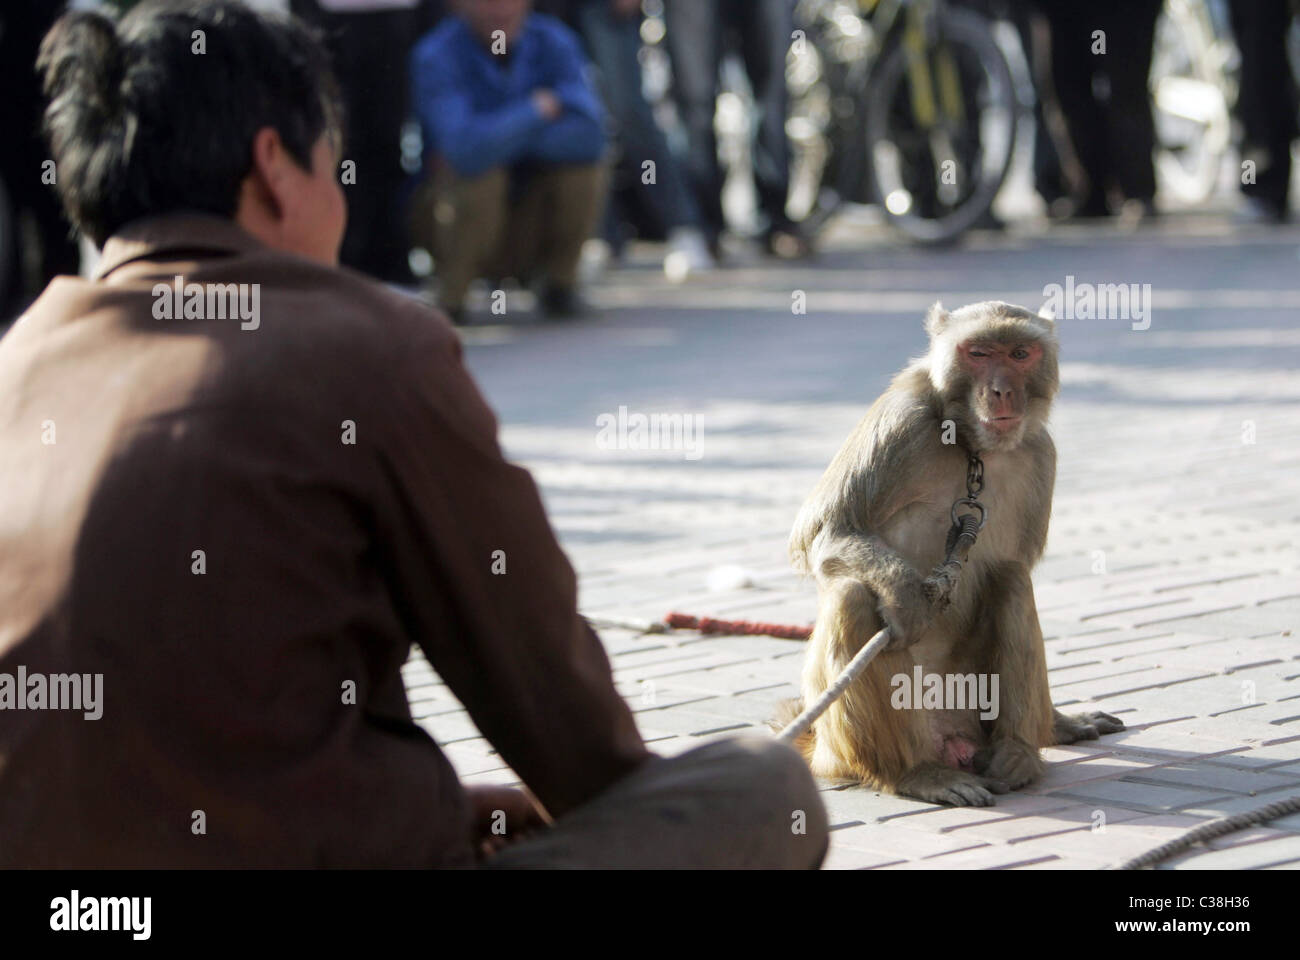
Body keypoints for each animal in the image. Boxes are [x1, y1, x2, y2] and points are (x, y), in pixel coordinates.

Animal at [784, 301, 1123, 806]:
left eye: (1020, 353)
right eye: (979, 353)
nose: (1002, 391)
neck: (970, 449)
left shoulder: (1041, 452)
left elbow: (1016, 565)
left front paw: (1060, 723)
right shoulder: (900, 421)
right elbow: (827, 531)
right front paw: (906, 600)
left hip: (974, 708)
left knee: (1011, 578)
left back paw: (1018, 753)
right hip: (843, 746)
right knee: (855, 597)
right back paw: (917, 773)